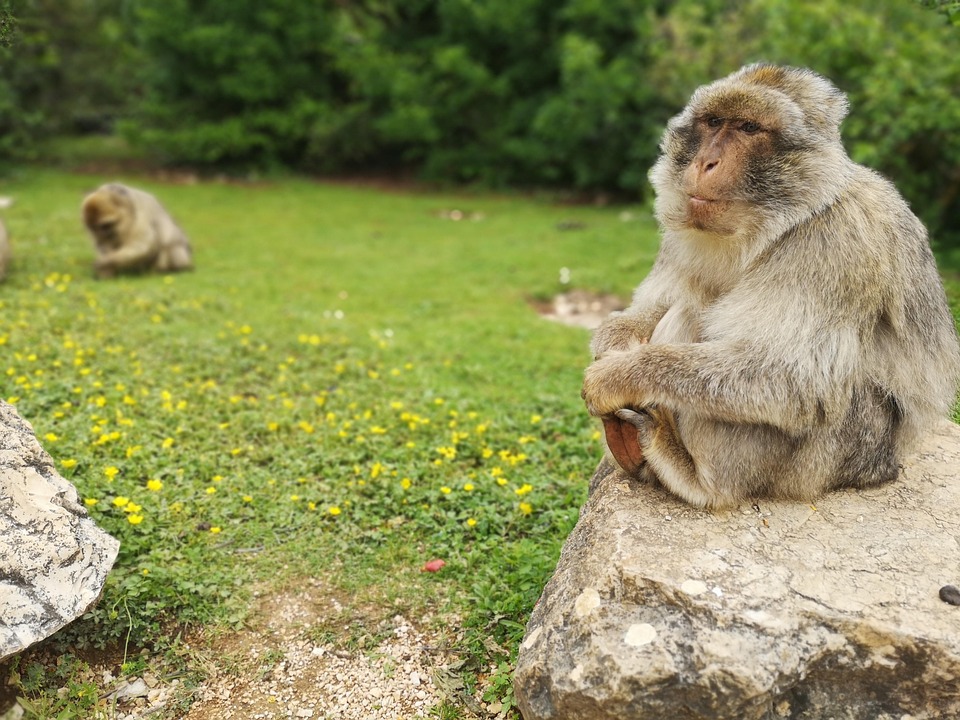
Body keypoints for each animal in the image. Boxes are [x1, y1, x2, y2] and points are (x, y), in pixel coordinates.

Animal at [581, 64, 960, 510]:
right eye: (714, 122)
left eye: (748, 128)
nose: (706, 162)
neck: (776, 222)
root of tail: (885, 468)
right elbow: (659, 302)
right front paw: (614, 339)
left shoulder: (835, 245)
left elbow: (794, 376)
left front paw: (621, 374)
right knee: (689, 307)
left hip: (832, 459)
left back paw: (692, 473)